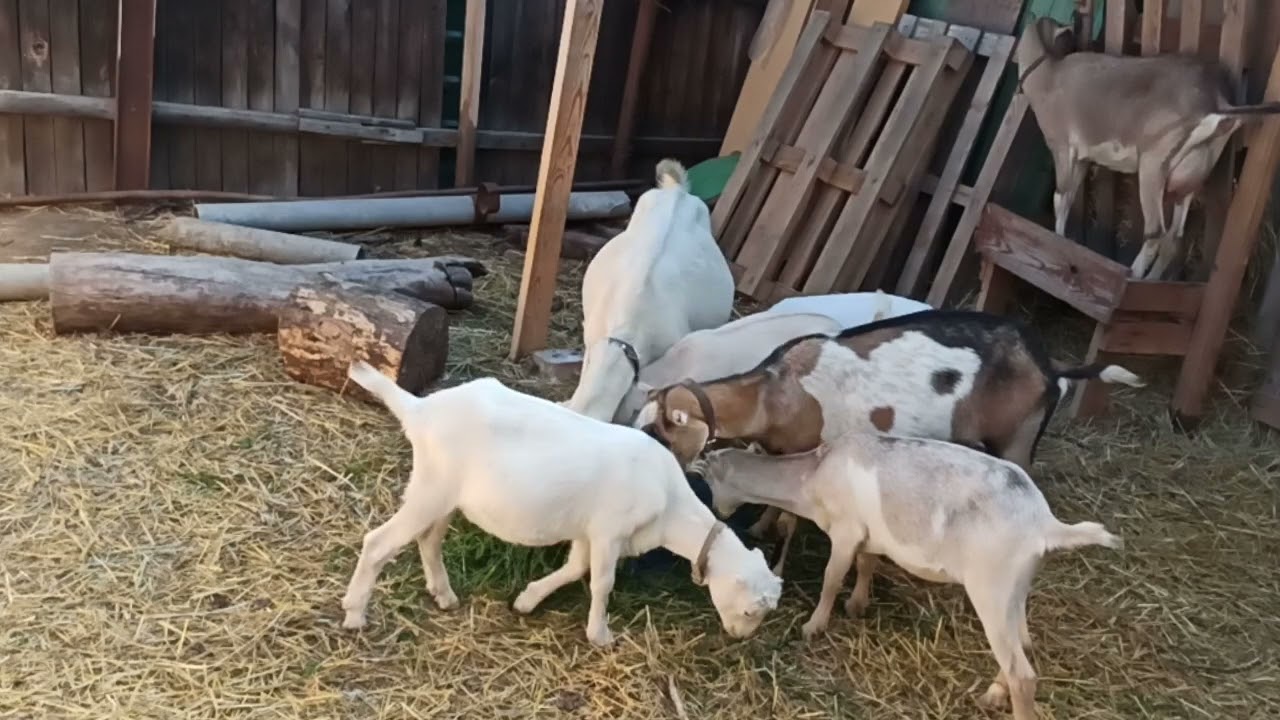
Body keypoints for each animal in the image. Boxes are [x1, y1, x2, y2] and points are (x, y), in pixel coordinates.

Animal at [339, 361, 782, 647]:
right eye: (750, 611)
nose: (740, 636)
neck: (670, 504)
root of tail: (420, 409)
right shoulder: (609, 531)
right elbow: (601, 582)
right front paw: (600, 635)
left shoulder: (589, 532)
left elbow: (575, 568)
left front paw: (527, 600)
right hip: (431, 488)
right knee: (378, 542)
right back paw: (354, 614)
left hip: (444, 496)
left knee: (428, 541)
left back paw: (444, 595)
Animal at [636, 309, 1142, 575]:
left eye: (659, 432)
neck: (775, 393)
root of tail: (1051, 367)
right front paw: (761, 527)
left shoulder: (810, 455)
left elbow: (793, 519)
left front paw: (778, 560)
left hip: (1016, 440)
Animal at [691, 437, 1122, 720]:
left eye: (710, 482)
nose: (719, 511)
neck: (812, 477)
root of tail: (1043, 524)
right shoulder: (867, 535)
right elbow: (866, 565)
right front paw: (857, 605)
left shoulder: (845, 530)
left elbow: (832, 577)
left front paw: (814, 626)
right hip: (1016, 587)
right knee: (1024, 643)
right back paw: (993, 692)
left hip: (991, 587)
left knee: (1023, 672)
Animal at [1017, 16, 1280, 280]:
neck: (1047, 76)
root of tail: (1216, 103)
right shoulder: (1083, 158)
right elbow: (1069, 198)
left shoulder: (1061, 146)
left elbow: (1060, 196)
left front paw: (1056, 241)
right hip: (1191, 175)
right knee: (1173, 238)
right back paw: (1152, 278)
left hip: (1153, 164)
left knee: (1155, 232)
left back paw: (1132, 274)